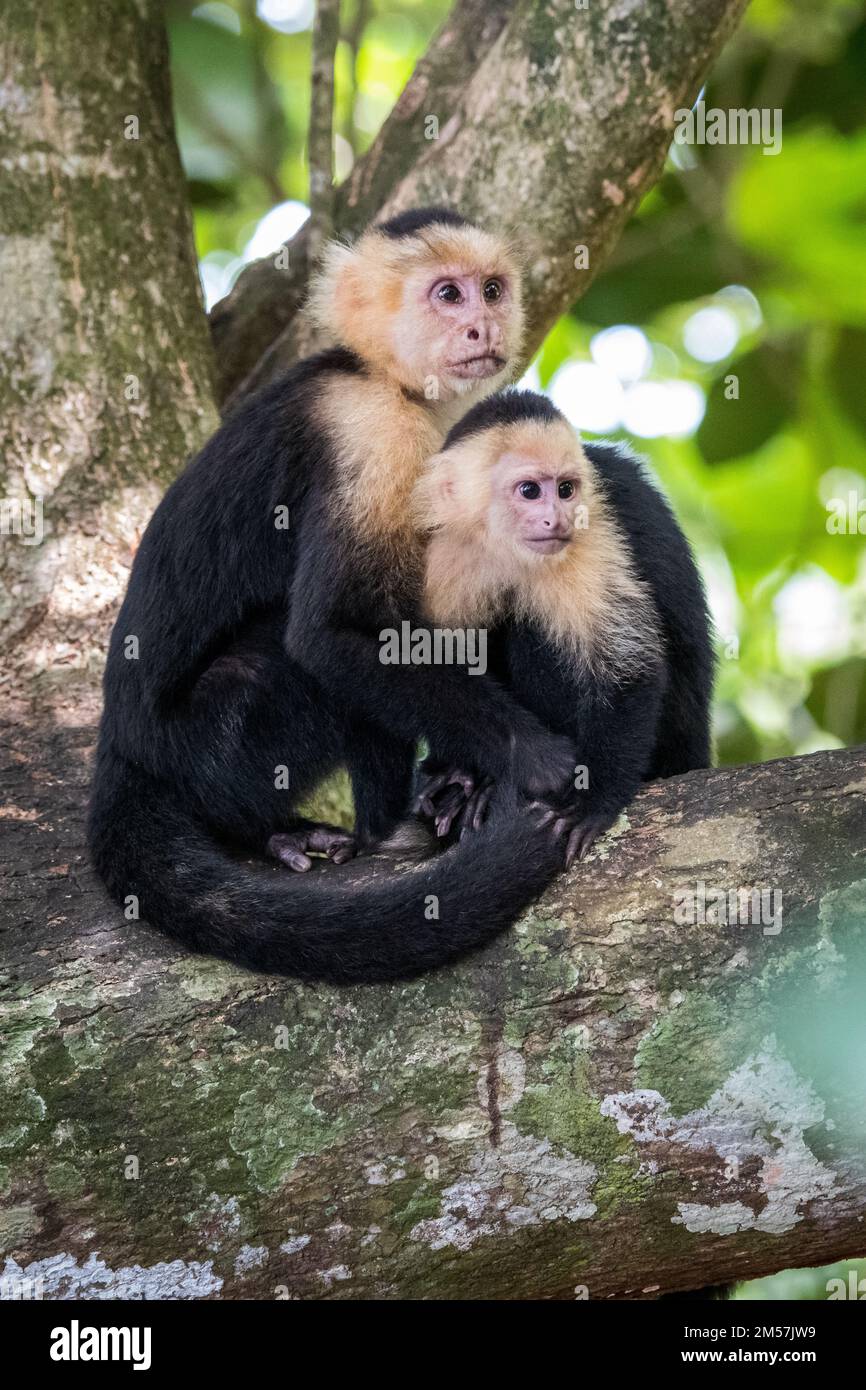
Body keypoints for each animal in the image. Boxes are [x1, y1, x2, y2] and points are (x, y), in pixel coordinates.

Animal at [88, 209, 578, 985]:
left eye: (493, 290)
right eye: (448, 294)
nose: (481, 327)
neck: (387, 379)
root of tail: (118, 747)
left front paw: (466, 775)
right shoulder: (367, 430)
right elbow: (333, 632)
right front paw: (529, 755)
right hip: (205, 744)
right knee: (285, 663)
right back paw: (335, 832)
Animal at [410, 388, 714, 862]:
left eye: (566, 490)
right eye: (530, 491)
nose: (557, 518)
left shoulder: (591, 535)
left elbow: (625, 667)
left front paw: (593, 800)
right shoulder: (446, 550)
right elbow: (441, 661)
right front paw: (454, 770)